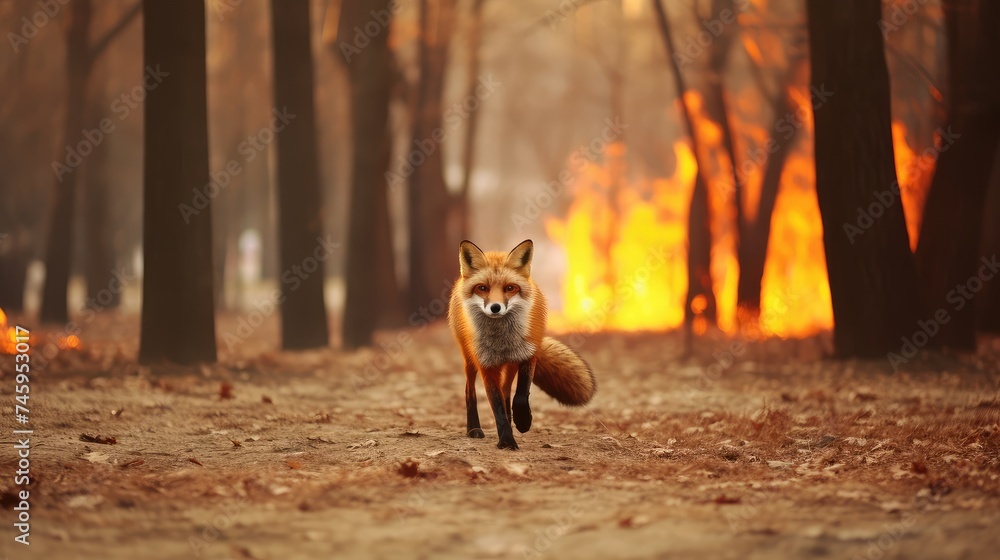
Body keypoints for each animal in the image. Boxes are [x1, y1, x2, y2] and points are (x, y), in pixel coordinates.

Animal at [448, 239, 596, 449]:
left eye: (510, 288)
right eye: (482, 288)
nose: (495, 307)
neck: (502, 341)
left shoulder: (528, 354)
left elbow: (520, 395)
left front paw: (523, 421)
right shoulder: (487, 366)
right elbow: (497, 407)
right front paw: (507, 440)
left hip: (511, 364)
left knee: (507, 391)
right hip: (469, 359)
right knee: (470, 391)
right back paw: (474, 429)